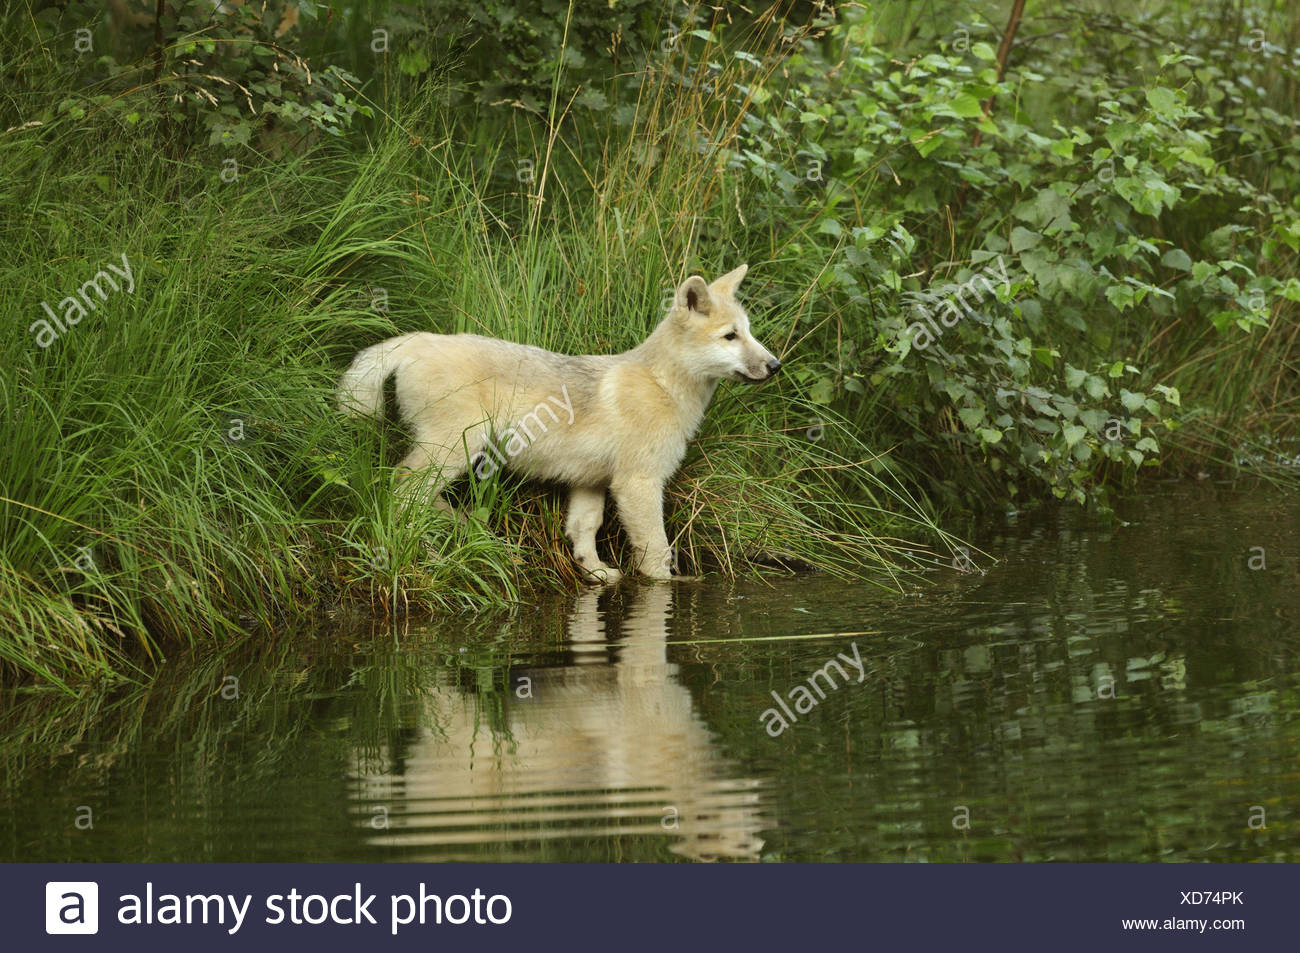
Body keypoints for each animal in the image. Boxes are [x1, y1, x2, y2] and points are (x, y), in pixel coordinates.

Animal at [337, 264, 780, 582]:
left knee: (416, 495)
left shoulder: (591, 483)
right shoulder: (639, 483)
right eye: (730, 336)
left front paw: (596, 572)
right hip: (451, 452)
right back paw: (429, 552)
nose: (775, 366)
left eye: (749, 333)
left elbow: (583, 530)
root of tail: (420, 340)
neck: (661, 385)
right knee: (402, 493)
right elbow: (655, 551)